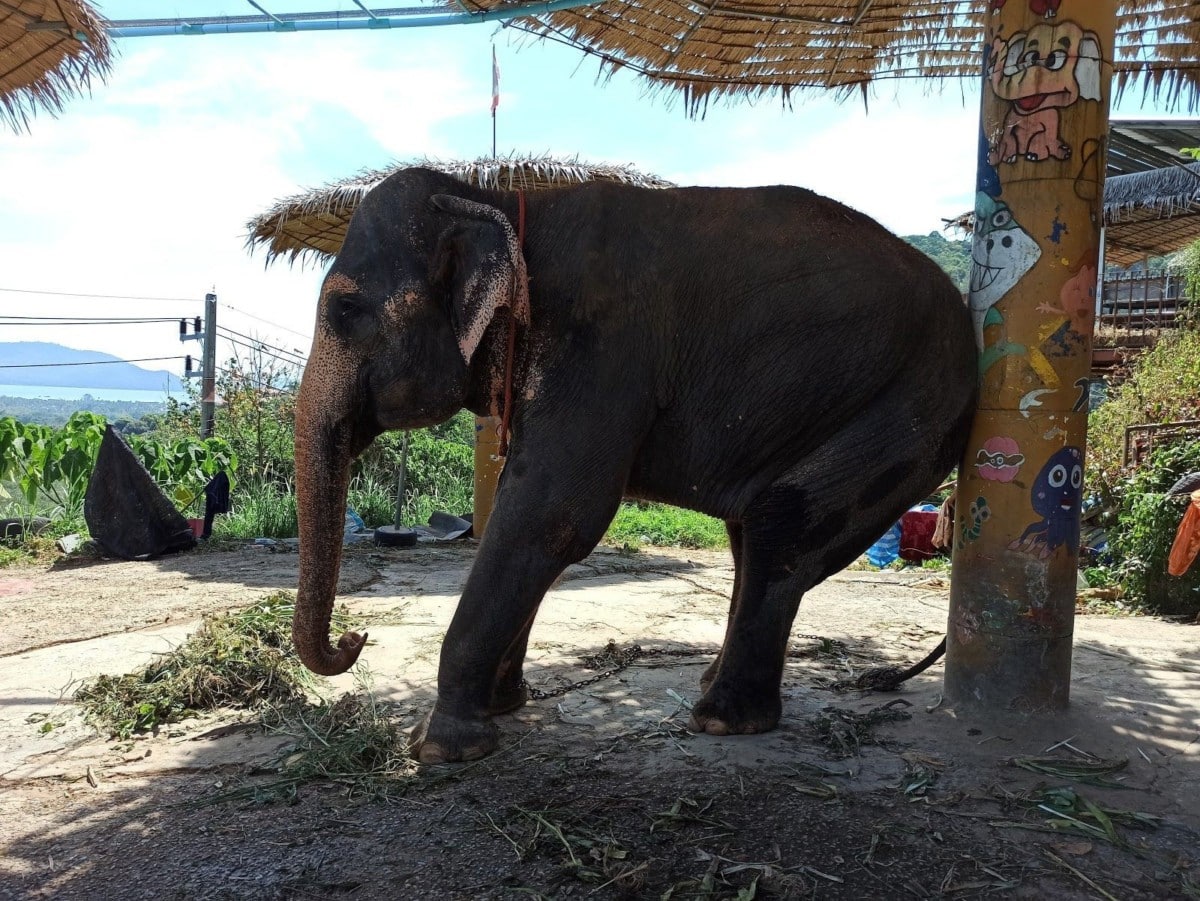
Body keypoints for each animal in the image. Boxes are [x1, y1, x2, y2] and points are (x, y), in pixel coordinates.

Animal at [292, 166, 979, 764]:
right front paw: (504, 705)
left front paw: (437, 747)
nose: (354, 639)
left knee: (779, 528)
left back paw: (722, 719)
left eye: (345, 312)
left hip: (910, 411)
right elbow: (530, 509)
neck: (501, 199)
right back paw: (713, 691)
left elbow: (552, 512)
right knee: (756, 535)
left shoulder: (601, 345)